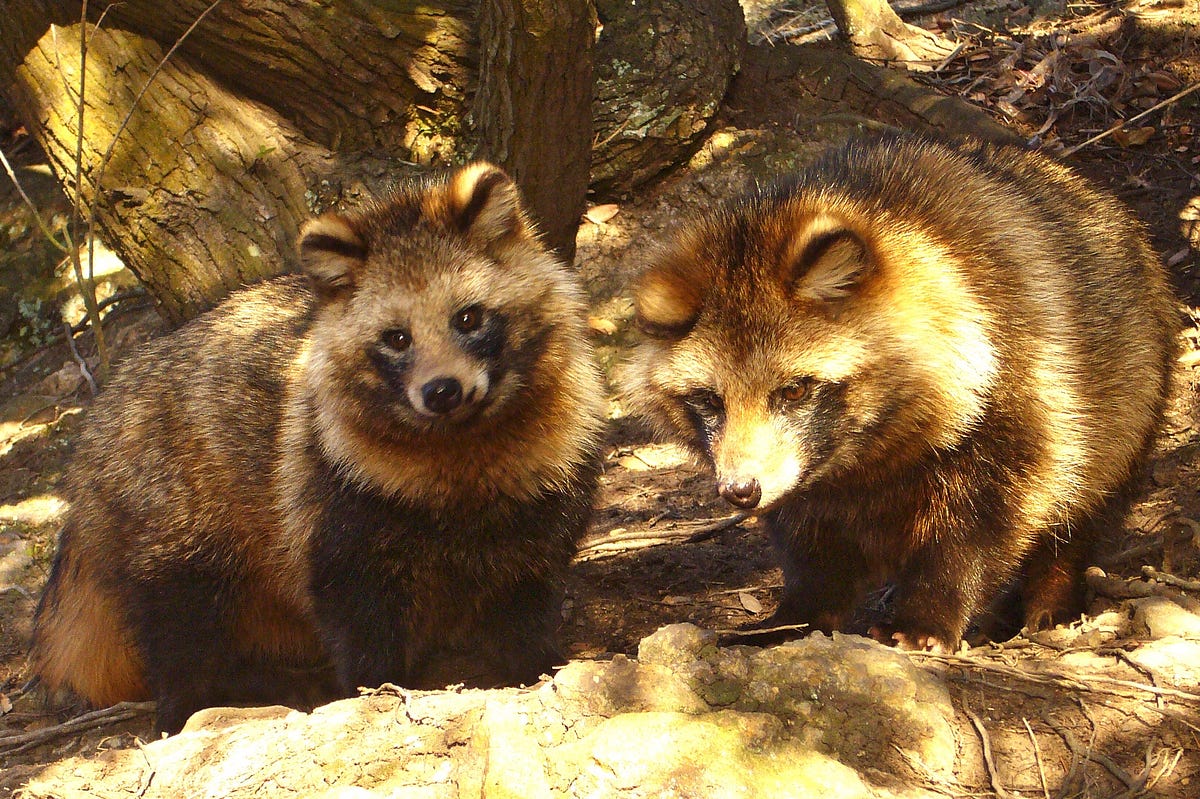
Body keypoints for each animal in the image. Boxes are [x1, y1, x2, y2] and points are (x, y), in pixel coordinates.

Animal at [30, 163, 607, 733]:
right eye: (397, 338)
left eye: (468, 318)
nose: (442, 391)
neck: (459, 439)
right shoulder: (335, 494)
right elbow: (358, 613)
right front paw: (378, 689)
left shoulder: (547, 477)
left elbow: (525, 591)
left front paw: (535, 665)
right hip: (165, 509)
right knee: (180, 623)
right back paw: (186, 707)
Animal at [626, 134, 1179, 652]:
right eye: (709, 400)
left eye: (795, 390)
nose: (741, 491)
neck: (863, 455)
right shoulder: (802, 474)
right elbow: (811, 538)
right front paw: (800, 611)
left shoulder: (1021, 392)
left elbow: (981, 524)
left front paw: (932, 608)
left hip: (1127, 397)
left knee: (1080, 505)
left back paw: (1053, 590)